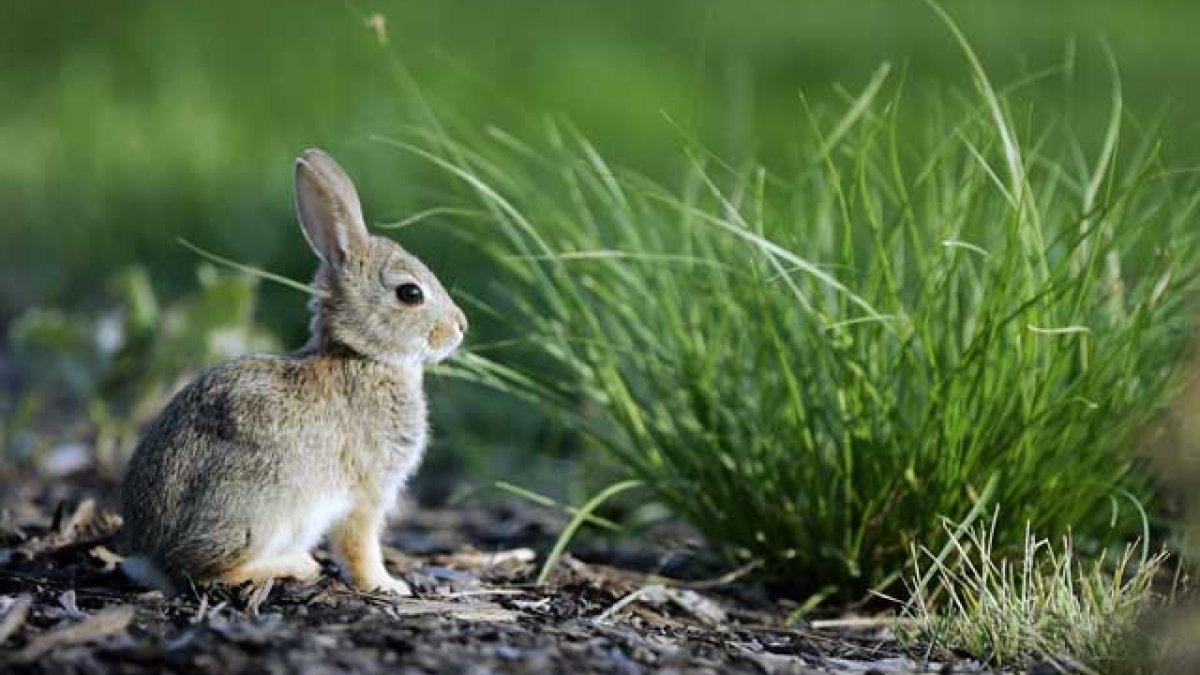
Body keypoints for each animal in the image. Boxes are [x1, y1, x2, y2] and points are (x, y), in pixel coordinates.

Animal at [118, 148, 467, 596]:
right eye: (410, 293)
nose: (460, 327)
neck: (362, 356)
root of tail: (149, 557)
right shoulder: (365, 493)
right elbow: (360, 547)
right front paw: (387, 585)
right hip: (262, 510)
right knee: (203, 569)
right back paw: (297, 565)